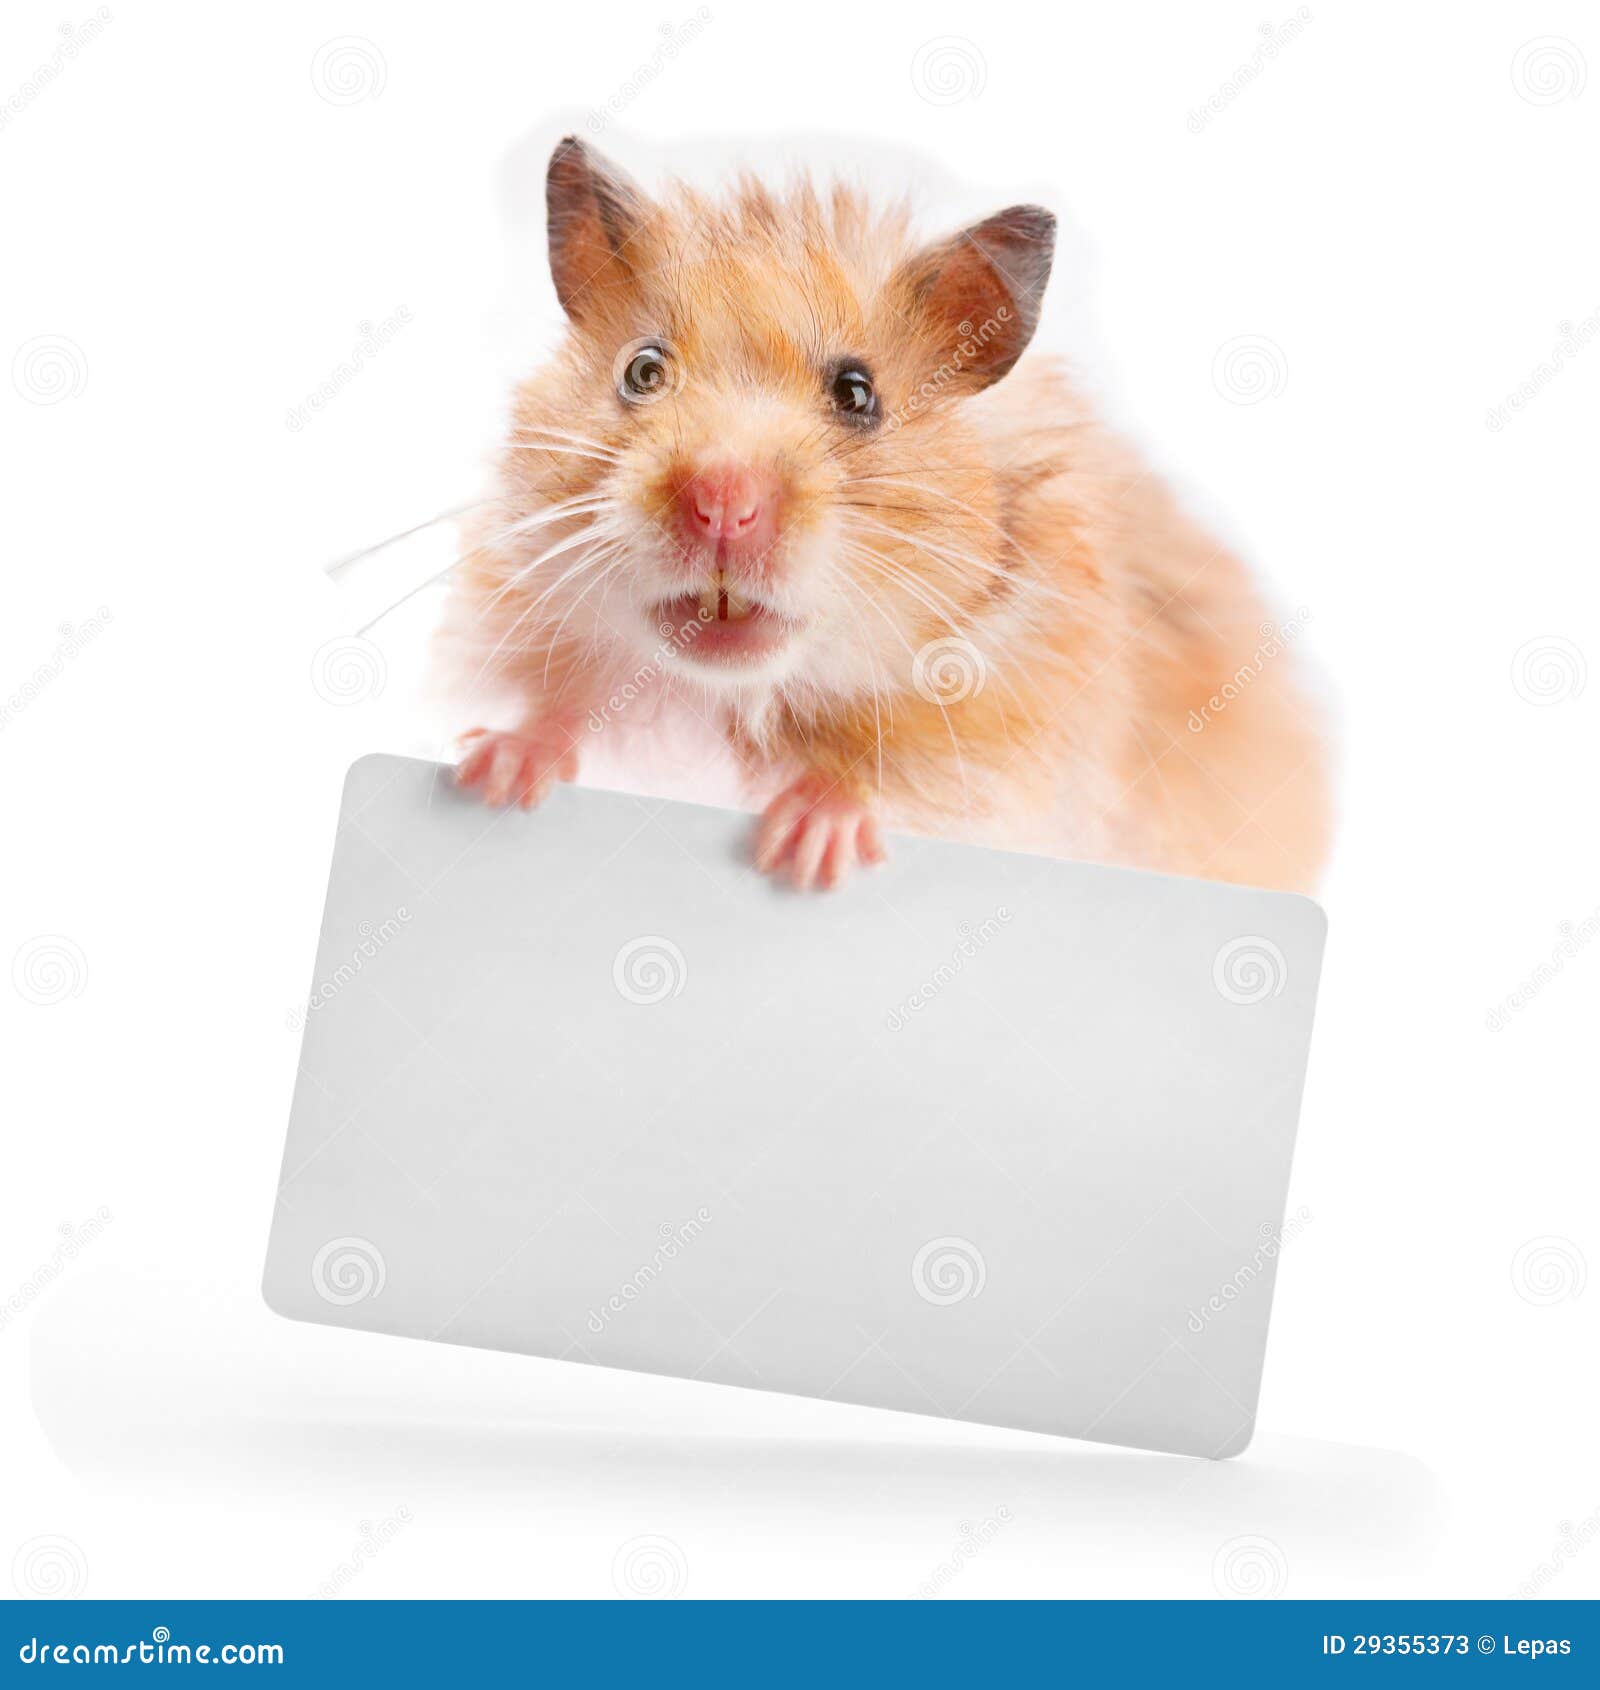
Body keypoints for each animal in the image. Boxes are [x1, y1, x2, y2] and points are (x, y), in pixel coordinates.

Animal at [441, 137, 1330, 893]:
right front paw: (490, 774)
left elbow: (886, 774)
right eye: (642, 369)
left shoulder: (1008, 747)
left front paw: (804, 853)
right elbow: (562, 705)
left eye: (857, 393)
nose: (722, 503)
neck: (732, 695)